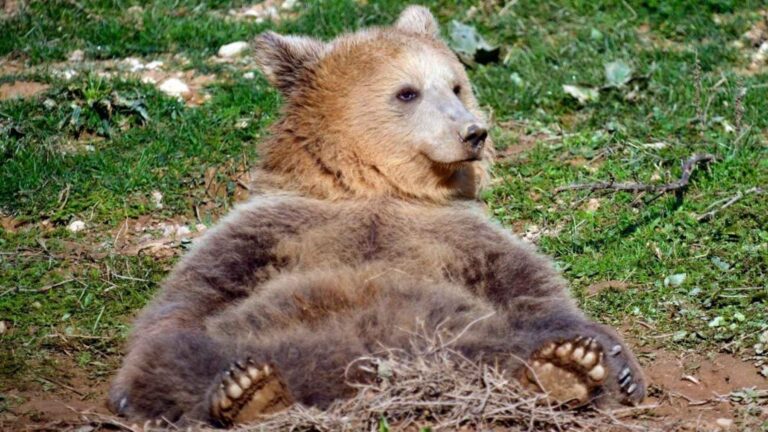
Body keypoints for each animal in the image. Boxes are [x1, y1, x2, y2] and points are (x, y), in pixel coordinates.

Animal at [108, 5, 646, 428]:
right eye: (408, 92)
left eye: (456, 85)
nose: (475, 132)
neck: (377, 187)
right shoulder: (273, 225)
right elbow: (194, 295)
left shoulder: (461, 233)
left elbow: (533, 288)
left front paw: (615, 366)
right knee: (180, 356)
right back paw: (249, 391)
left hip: (461, 333)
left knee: (517, 338)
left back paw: (565, 368)